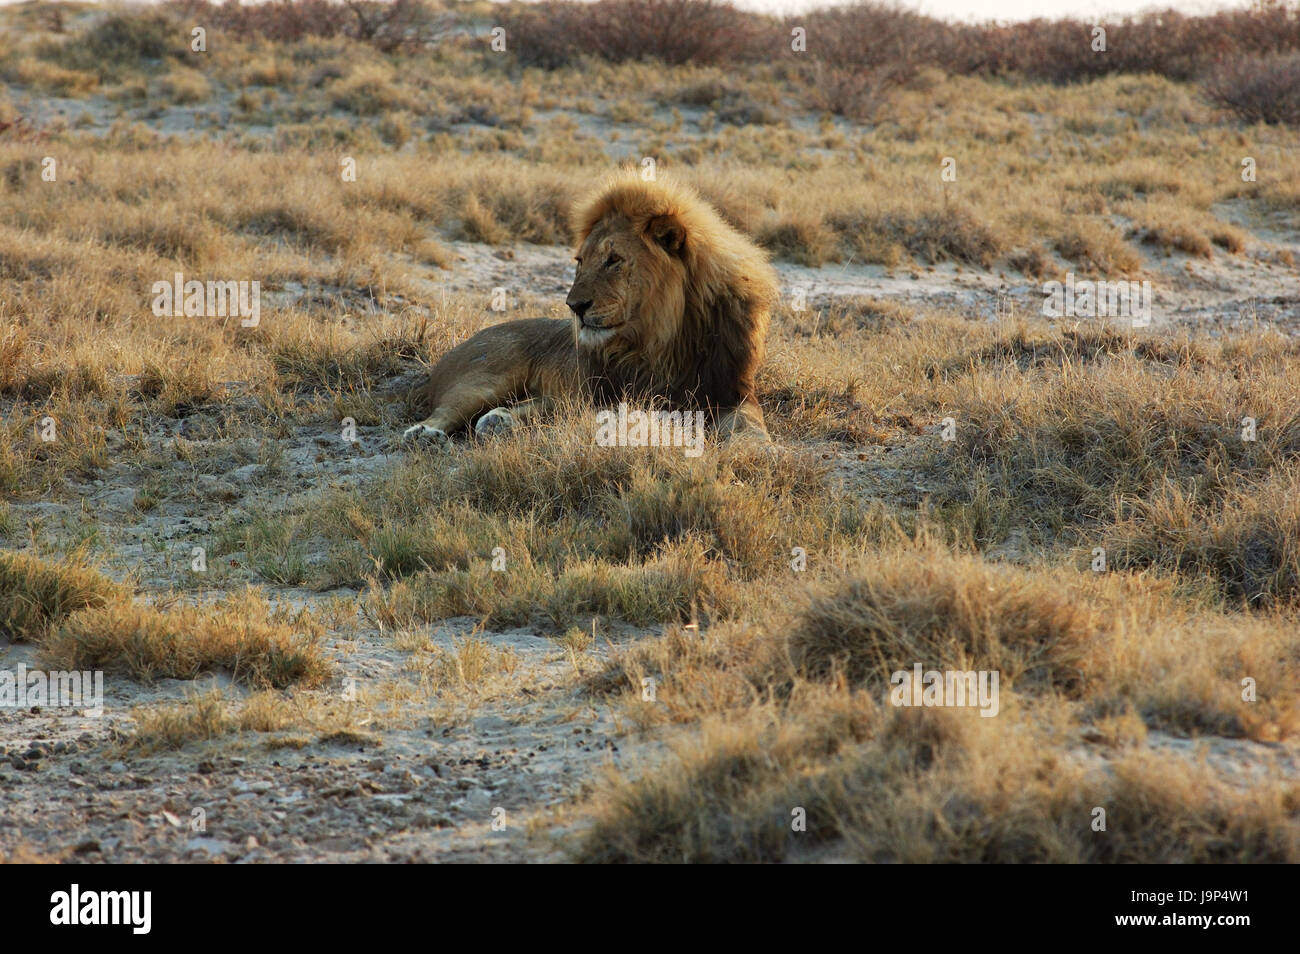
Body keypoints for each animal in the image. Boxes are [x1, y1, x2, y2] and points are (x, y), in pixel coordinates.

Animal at [401, 172, 779, 447]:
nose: (574, 306)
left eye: (613, 260)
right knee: (449, 409)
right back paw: (426, 435)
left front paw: (761, 448)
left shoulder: (732, 390)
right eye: (580, 261)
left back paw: (498, 421)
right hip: (487, 379)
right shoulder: (613, 395)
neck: (663, 338)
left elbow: (750, 422)